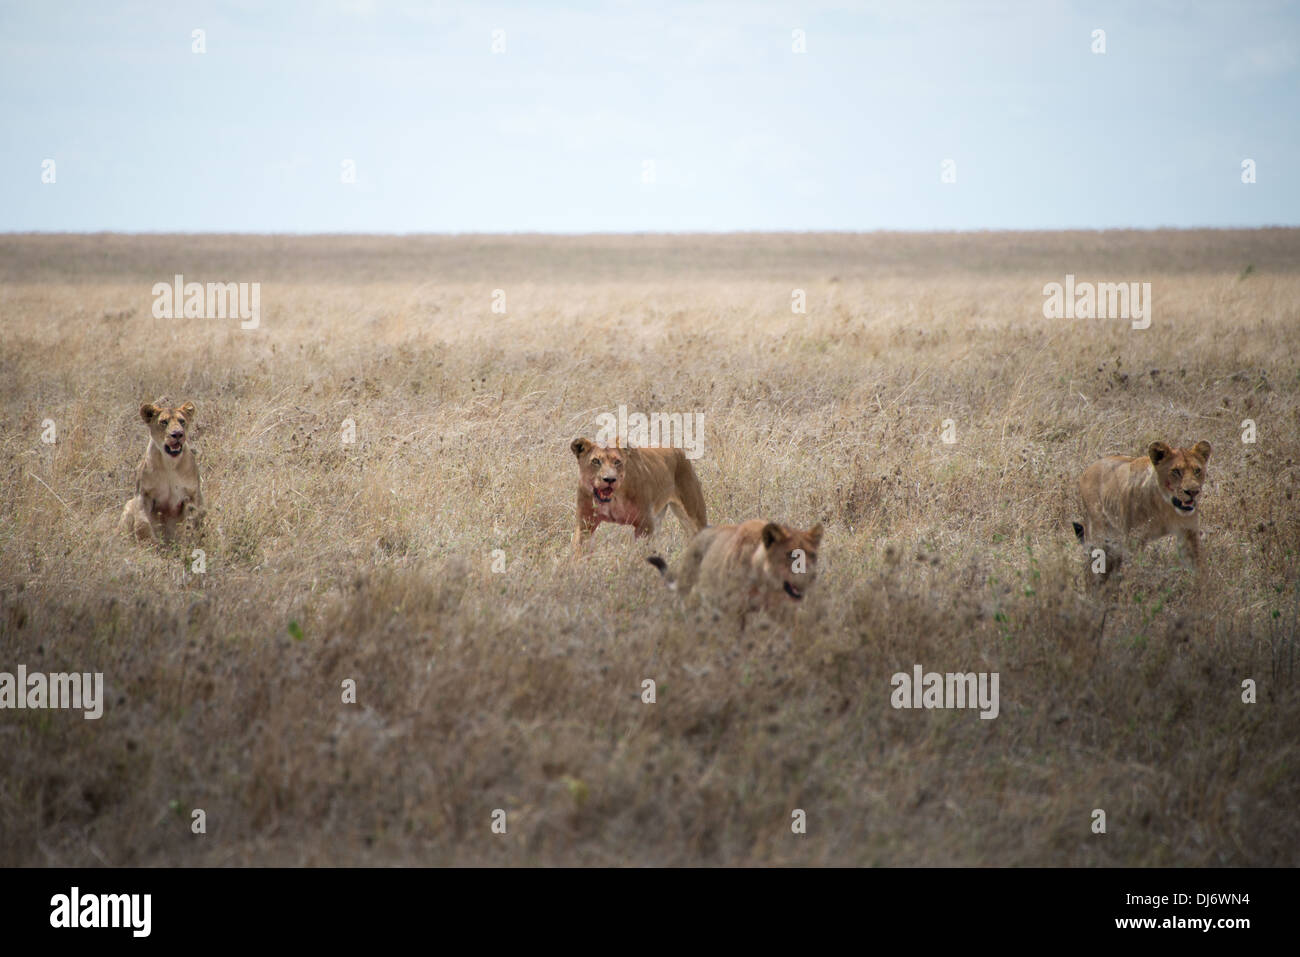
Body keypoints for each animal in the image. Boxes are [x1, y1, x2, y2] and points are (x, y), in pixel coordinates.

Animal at [118, 400, 204, 543]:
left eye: (182, 421)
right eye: (164, 422)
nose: (177, 434)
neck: (170, 464)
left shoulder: (192, 494)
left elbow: (193, 520)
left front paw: (190, 540)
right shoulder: (143, 494)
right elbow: (142, 522)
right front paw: (148, 542)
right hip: (129, 504)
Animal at [570, 437, 707, 553]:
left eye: (617, 462)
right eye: (595, 461)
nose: (610, 479)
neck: (613, 499)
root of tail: (677, 449)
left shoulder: (645, 524)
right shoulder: (585, 523)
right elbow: (579, 551)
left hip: (693, 514)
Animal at [1072, 440, 1210, 577]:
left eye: (1197, 470)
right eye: (1176, 471)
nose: (1193, 492)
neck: (1166, 506)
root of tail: (1088, 469)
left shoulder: (1189, 532)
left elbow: (1199, 566)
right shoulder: (1135, 538)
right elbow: (1134, 567)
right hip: (1099, 528)